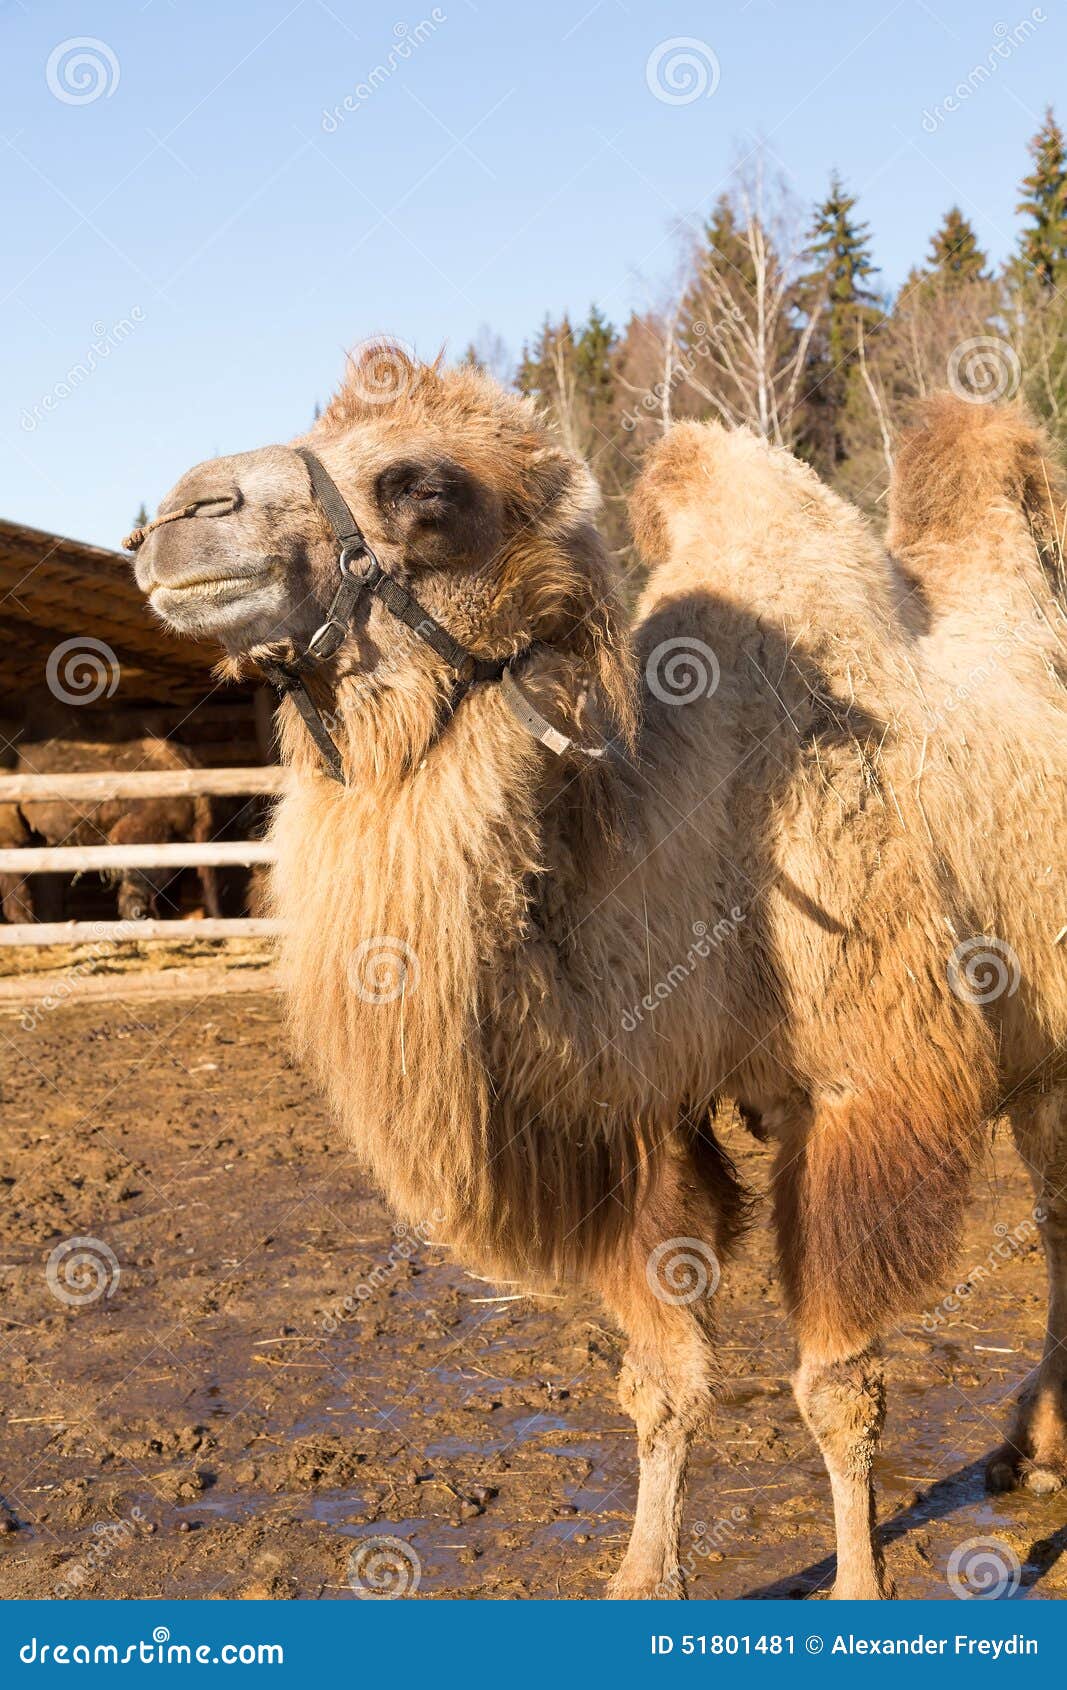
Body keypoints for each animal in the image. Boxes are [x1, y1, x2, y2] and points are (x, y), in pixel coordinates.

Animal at [129, 348, 1066, 1599]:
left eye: (425, 490)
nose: (180, 519)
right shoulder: (645, 1119)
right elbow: (661, 1382)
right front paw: (640, 1577)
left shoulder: (860, 1091)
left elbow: (835, 1388)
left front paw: (860, 1589)